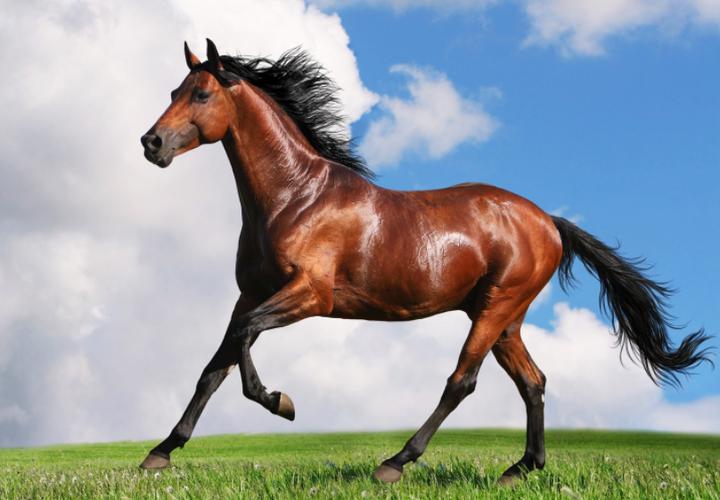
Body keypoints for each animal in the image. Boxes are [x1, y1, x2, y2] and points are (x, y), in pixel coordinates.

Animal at [139, 39, 712, 485]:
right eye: (173, 92)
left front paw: (281, 401)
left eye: (201, 93)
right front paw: (160, 453)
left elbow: (242, 345)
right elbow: (214, 366)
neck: (294, 197)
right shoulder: (250, 294)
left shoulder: (309, 295)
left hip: (496, 308)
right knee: (533, 381)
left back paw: (395, 462)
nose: (151, 142)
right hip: (505, 318)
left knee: (462, 380)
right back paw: (520, 469)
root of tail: (548, 221)